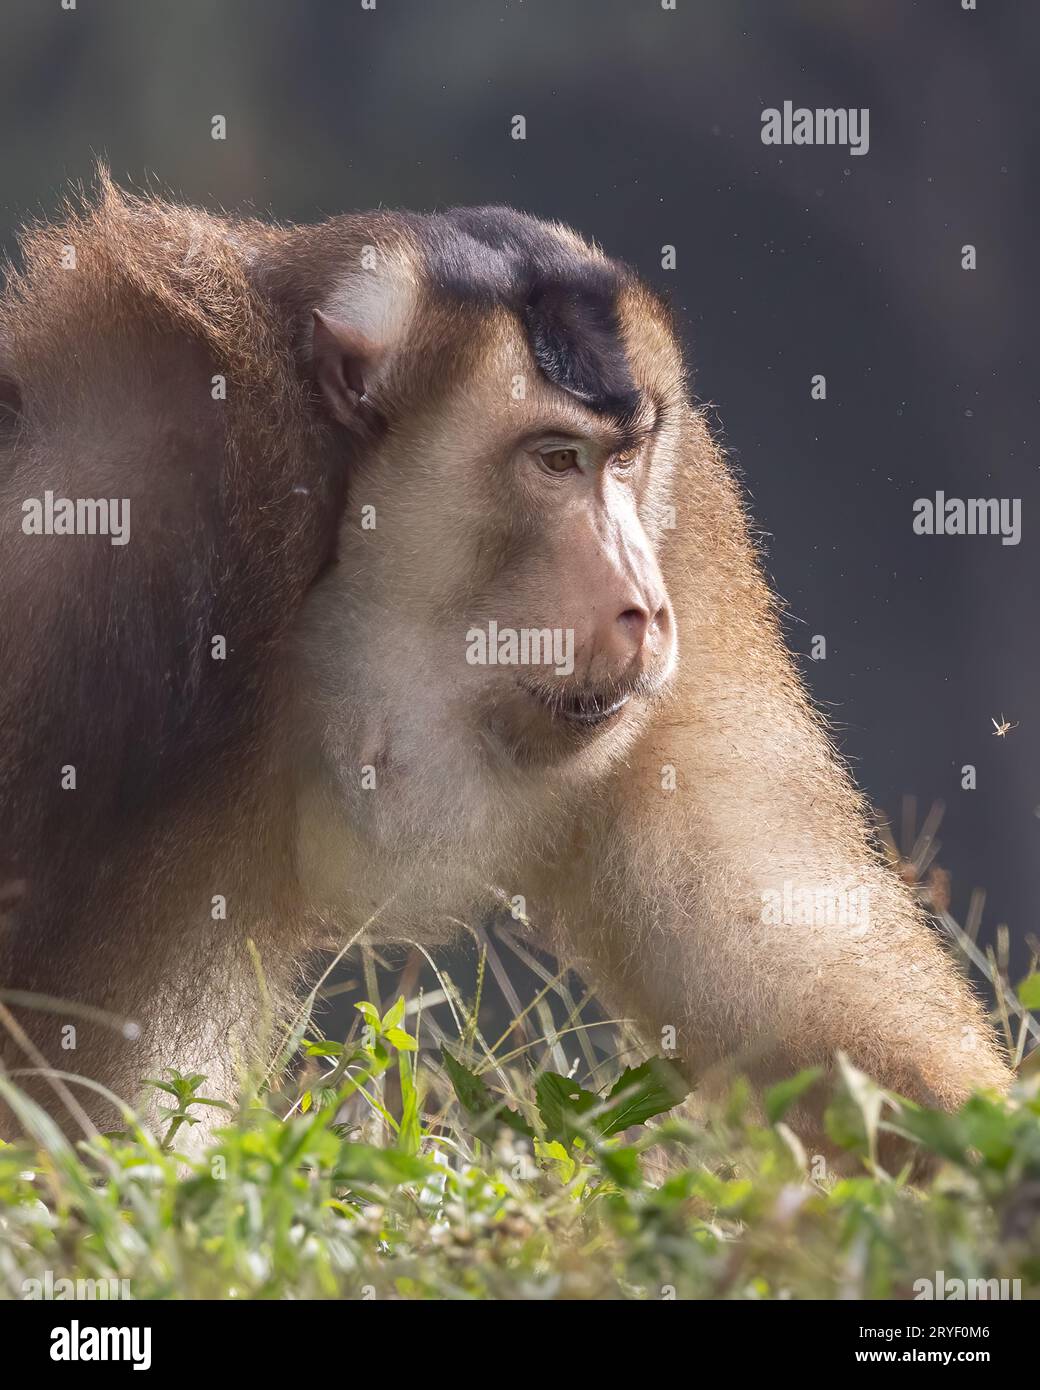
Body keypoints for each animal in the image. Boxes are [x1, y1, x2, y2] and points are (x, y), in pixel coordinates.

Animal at [0, 176, 1010, 1148]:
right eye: (555, 460)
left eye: (625, 460)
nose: (643, 607)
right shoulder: (130, 471)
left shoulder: (686, 526)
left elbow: (772, 946)